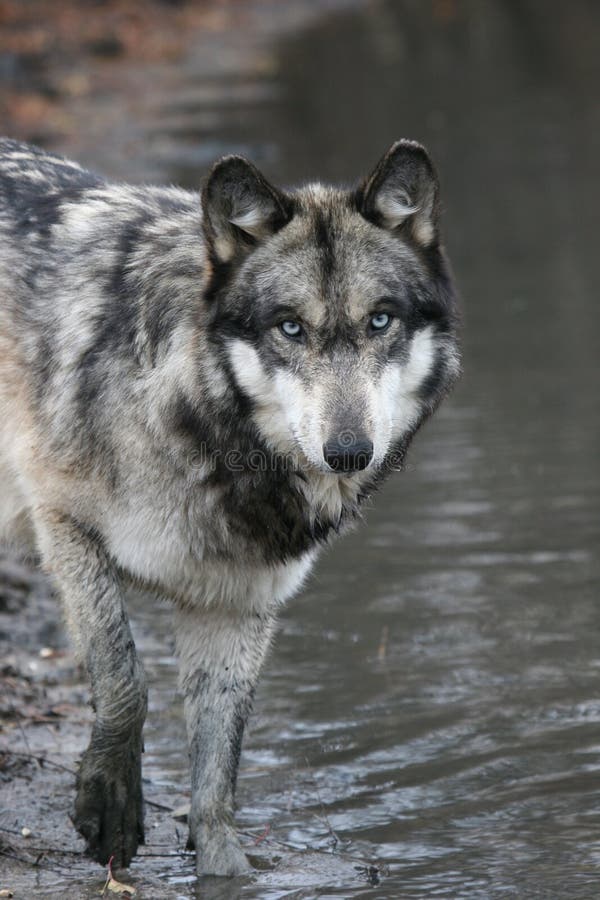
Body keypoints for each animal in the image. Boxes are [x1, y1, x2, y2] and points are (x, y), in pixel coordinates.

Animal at [0, 137, 459, 876]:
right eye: (290, 328)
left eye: (380, 320)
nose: (349, 452)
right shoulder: (63, 526)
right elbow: (125, 679)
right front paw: (110, 803)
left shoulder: (235, 604)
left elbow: (218, 774)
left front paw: (225, 869)